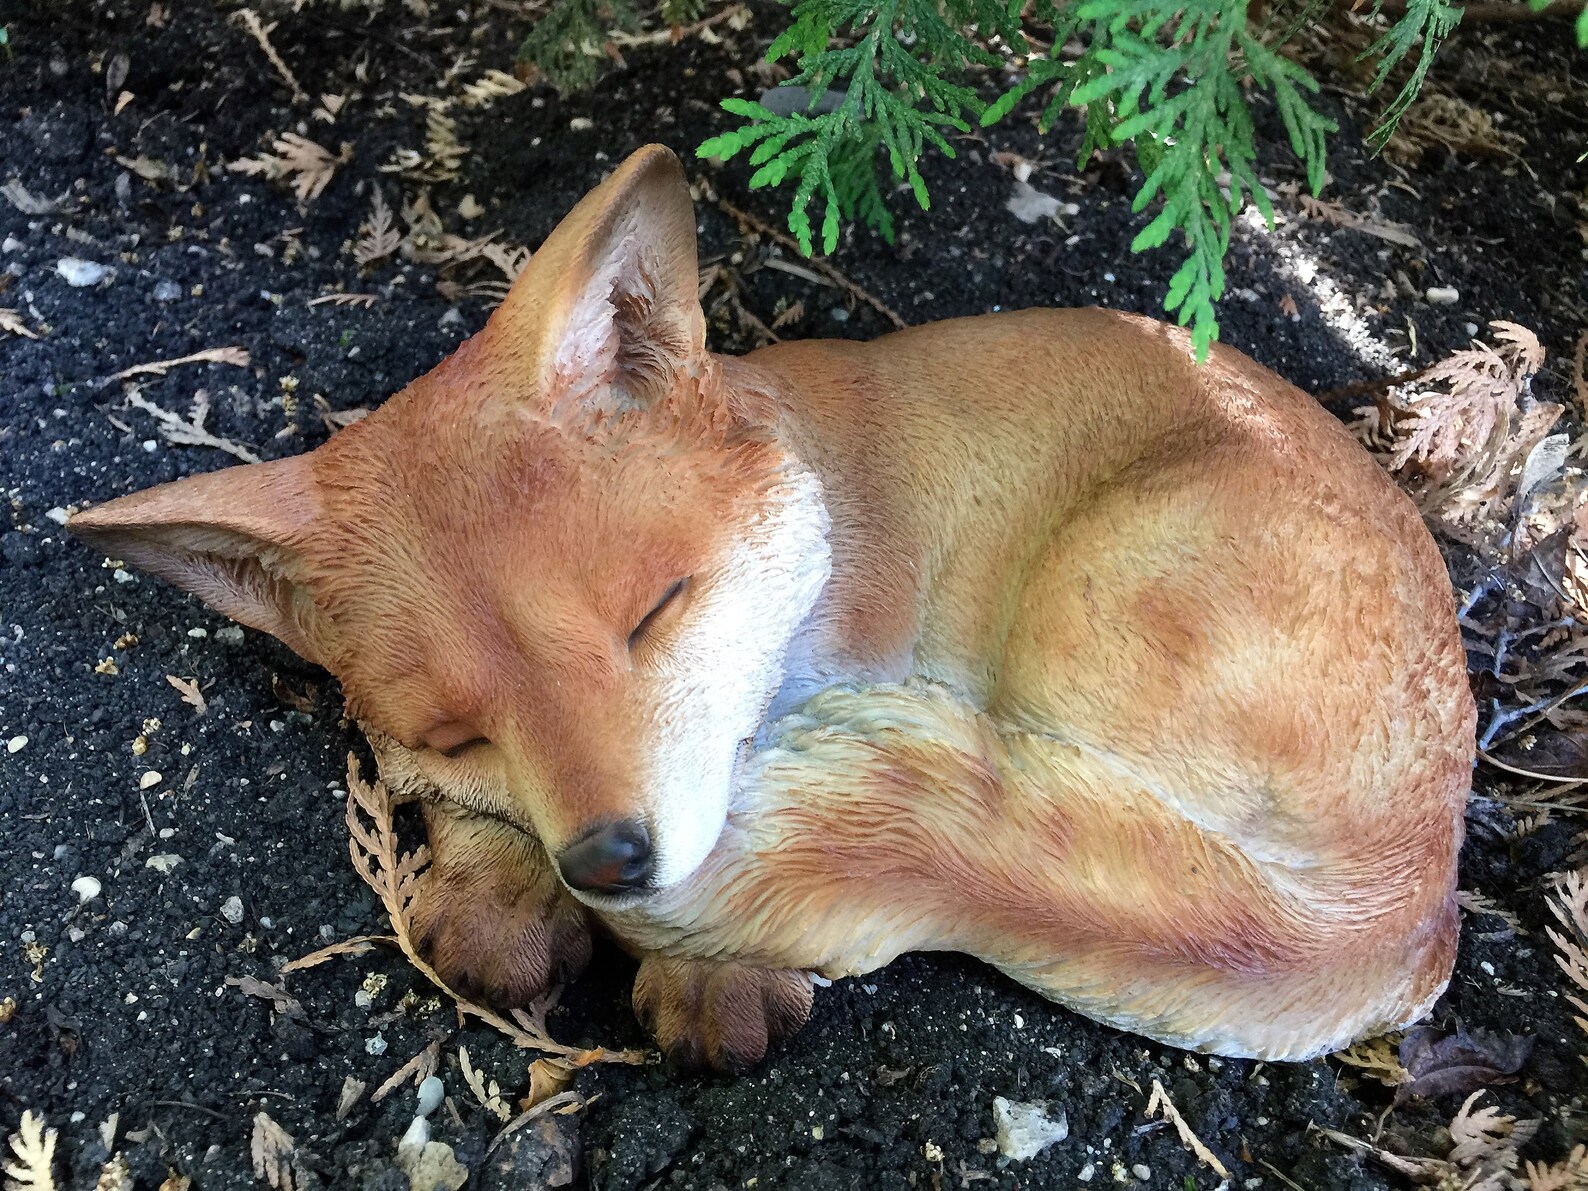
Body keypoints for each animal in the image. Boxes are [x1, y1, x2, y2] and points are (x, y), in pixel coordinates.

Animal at [70, 143, 1476, 1073]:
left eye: (654, 610)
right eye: (457, 728)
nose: (610, 862)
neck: (836, 510)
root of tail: (1412, 895)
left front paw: (714, 969)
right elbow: (481, 832)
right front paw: (500, 889)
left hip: (1087, 613)